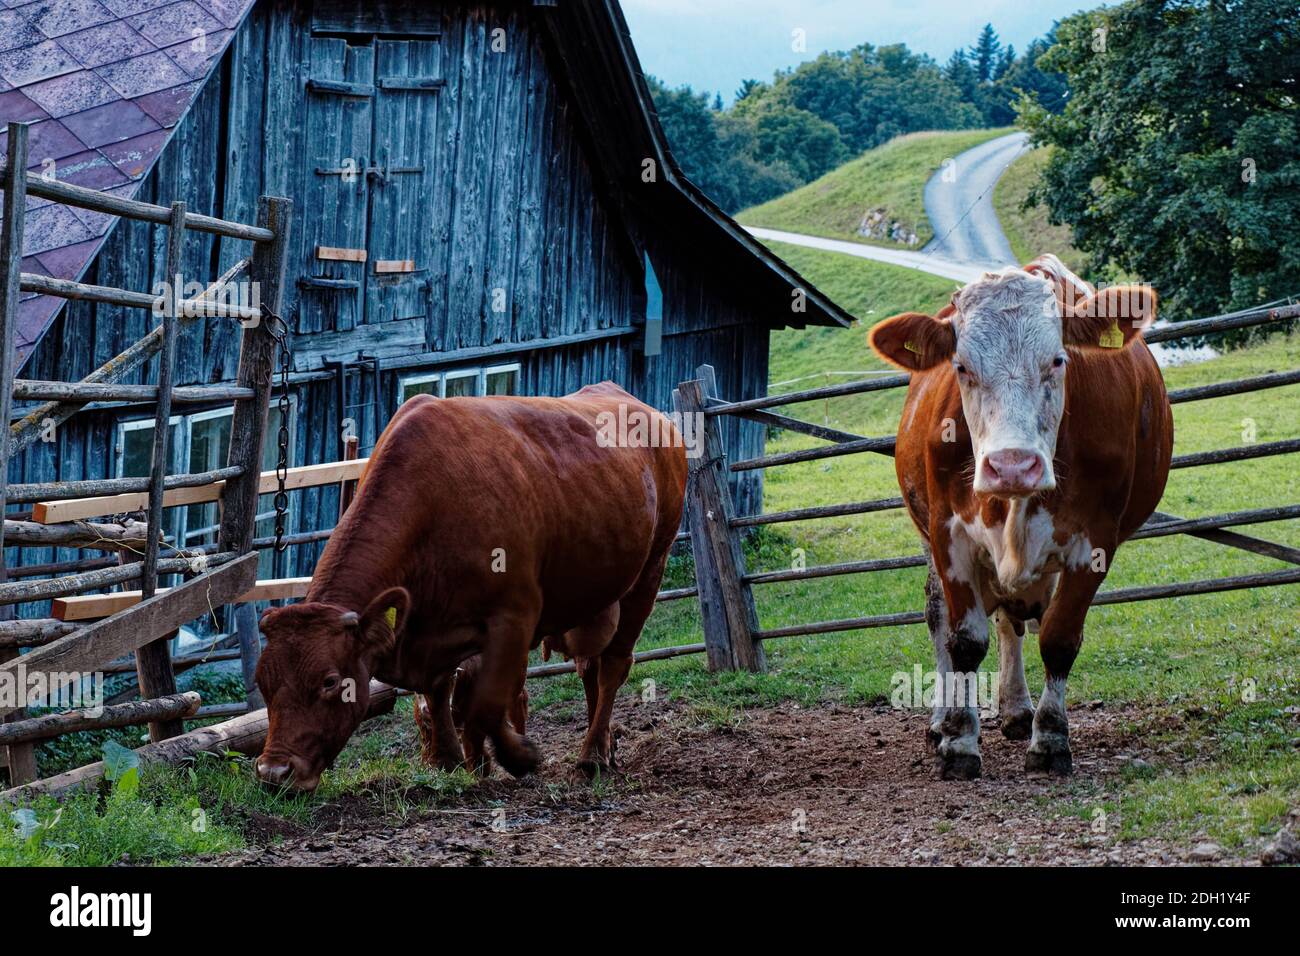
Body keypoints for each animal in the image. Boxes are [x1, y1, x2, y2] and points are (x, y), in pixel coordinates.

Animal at [253, 382, 687, 792]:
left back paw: (593, 755)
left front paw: (518, 756)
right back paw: (606, 746)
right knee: (590, 669)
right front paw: (449, 759)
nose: (274, 772)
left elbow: (487, 703)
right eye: (262, 682)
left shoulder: (514, 616)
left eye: (330, 681)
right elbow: (440, 693)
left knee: (613, 665)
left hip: (651, 569)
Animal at [869, 255, 1172, 779]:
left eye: (1057, 360)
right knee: (940, 614)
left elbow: (1059, 638)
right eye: (961, 366)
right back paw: (941, 720)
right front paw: (959, 741)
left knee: (1014, 620)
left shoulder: (1096, 540)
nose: (1011, 465)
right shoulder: (948, 535)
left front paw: (1049, 739)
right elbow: (964, 640)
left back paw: (1015, 710)